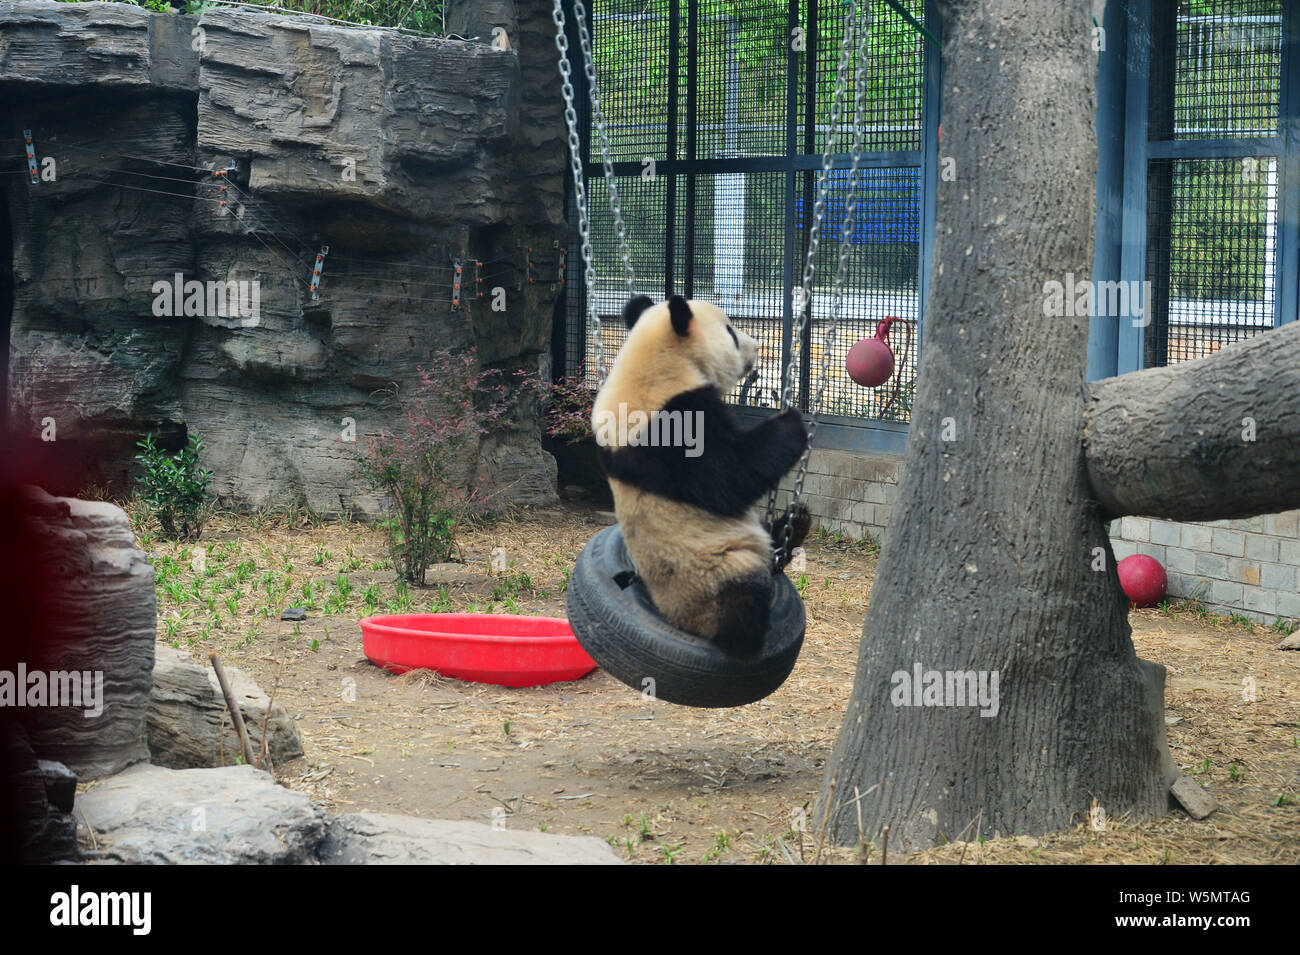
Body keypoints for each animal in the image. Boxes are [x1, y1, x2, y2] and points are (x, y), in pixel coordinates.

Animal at [591, 294, 812, 658]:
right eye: (731, 333)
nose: (757, 346)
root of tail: (672, 614)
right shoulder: (672, 426)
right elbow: (731, 475)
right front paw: (792, 421)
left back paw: (793, 526)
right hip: (710, 573)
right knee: (739, 597)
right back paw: (746, 641)